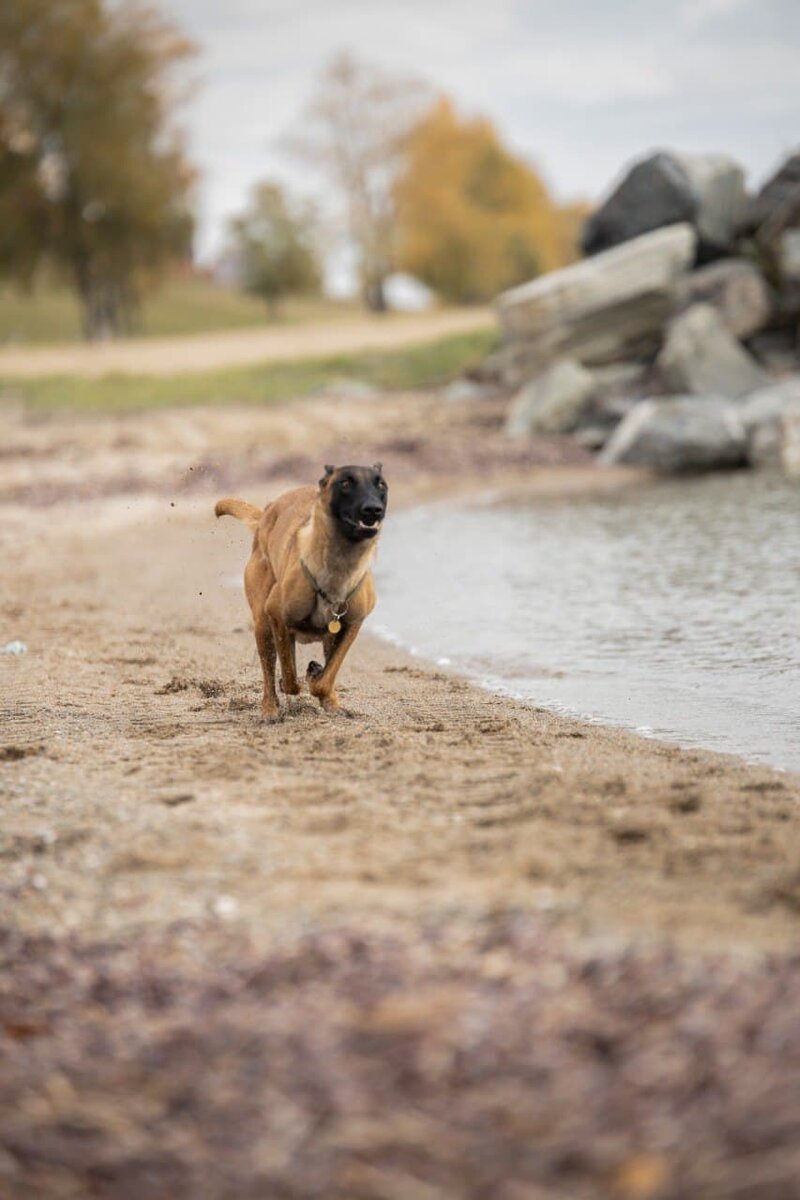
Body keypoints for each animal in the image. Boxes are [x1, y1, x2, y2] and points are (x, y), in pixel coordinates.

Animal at [212, 463, 388, 715]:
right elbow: (289, 676)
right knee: (269, 670)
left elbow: (328, 675)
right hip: (263, 623)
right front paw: (296, 681)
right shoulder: (276, 615)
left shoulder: (352, 623)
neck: (338, 566)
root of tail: (267, 512)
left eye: (381, 484)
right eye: (345, 482)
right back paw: (270, 709)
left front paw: (319, 681)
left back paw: (330, 699)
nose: (373, 509)